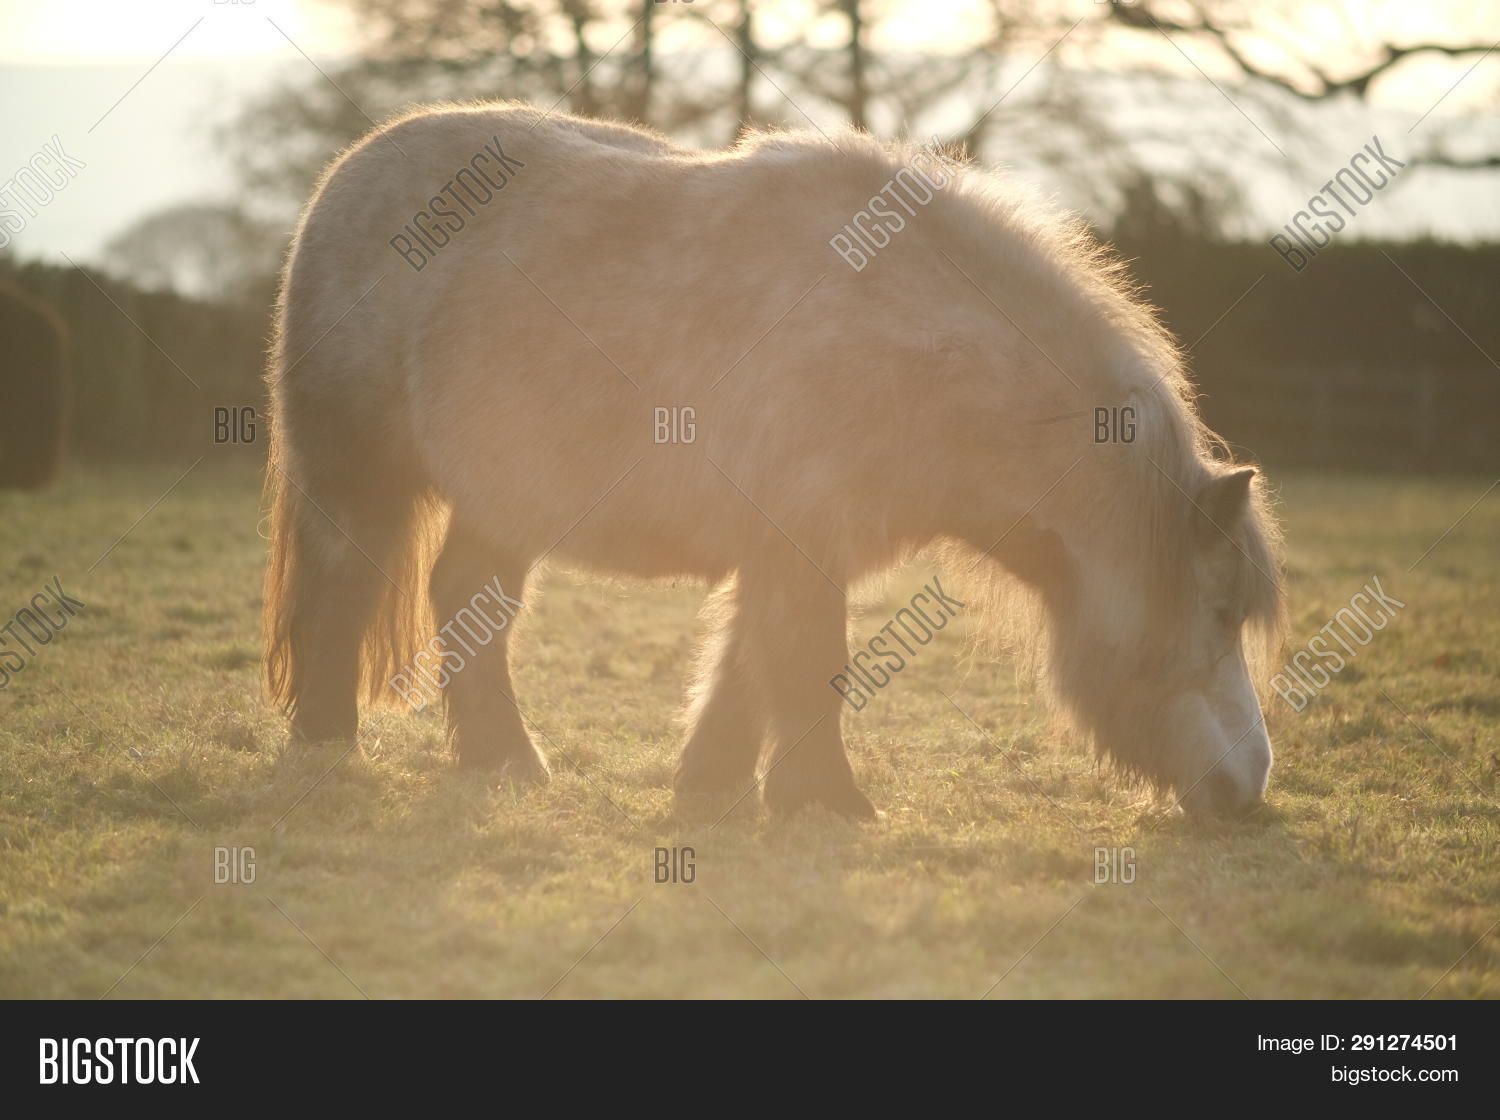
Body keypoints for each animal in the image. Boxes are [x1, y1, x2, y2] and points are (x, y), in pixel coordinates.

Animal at [263, 102, 1285, 819]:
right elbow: (805, 662)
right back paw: (328, 743)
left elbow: (747, 671)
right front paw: (829, 801)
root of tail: (344, 179)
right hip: (358, 485)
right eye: (1219, 611)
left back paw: (505, 762)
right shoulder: (800, 543)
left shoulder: (790, 549)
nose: (1247, 788)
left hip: (503, 501)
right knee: (342, 591)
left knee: (471, 602)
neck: (907, 342)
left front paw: (715, 787)